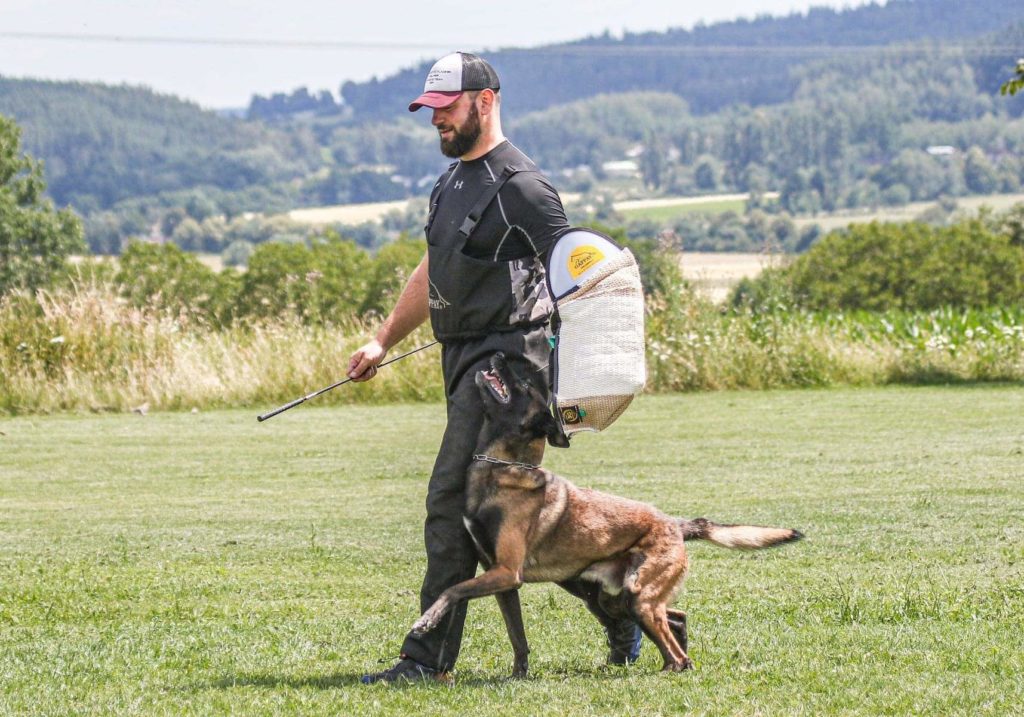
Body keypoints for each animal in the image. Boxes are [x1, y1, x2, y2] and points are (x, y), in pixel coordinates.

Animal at [407, 356, 798, 676]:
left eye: (524, 386)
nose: (499, 354)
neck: (502, 467)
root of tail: (674, 524)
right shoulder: (503, 580)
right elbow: (517, 636)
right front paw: (518, 675)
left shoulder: (506, 572)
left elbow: (453, 589)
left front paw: (426, 620)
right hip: (615, 598)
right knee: (677, 619)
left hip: (637, 597)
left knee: (675, 650)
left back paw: (670, 667)